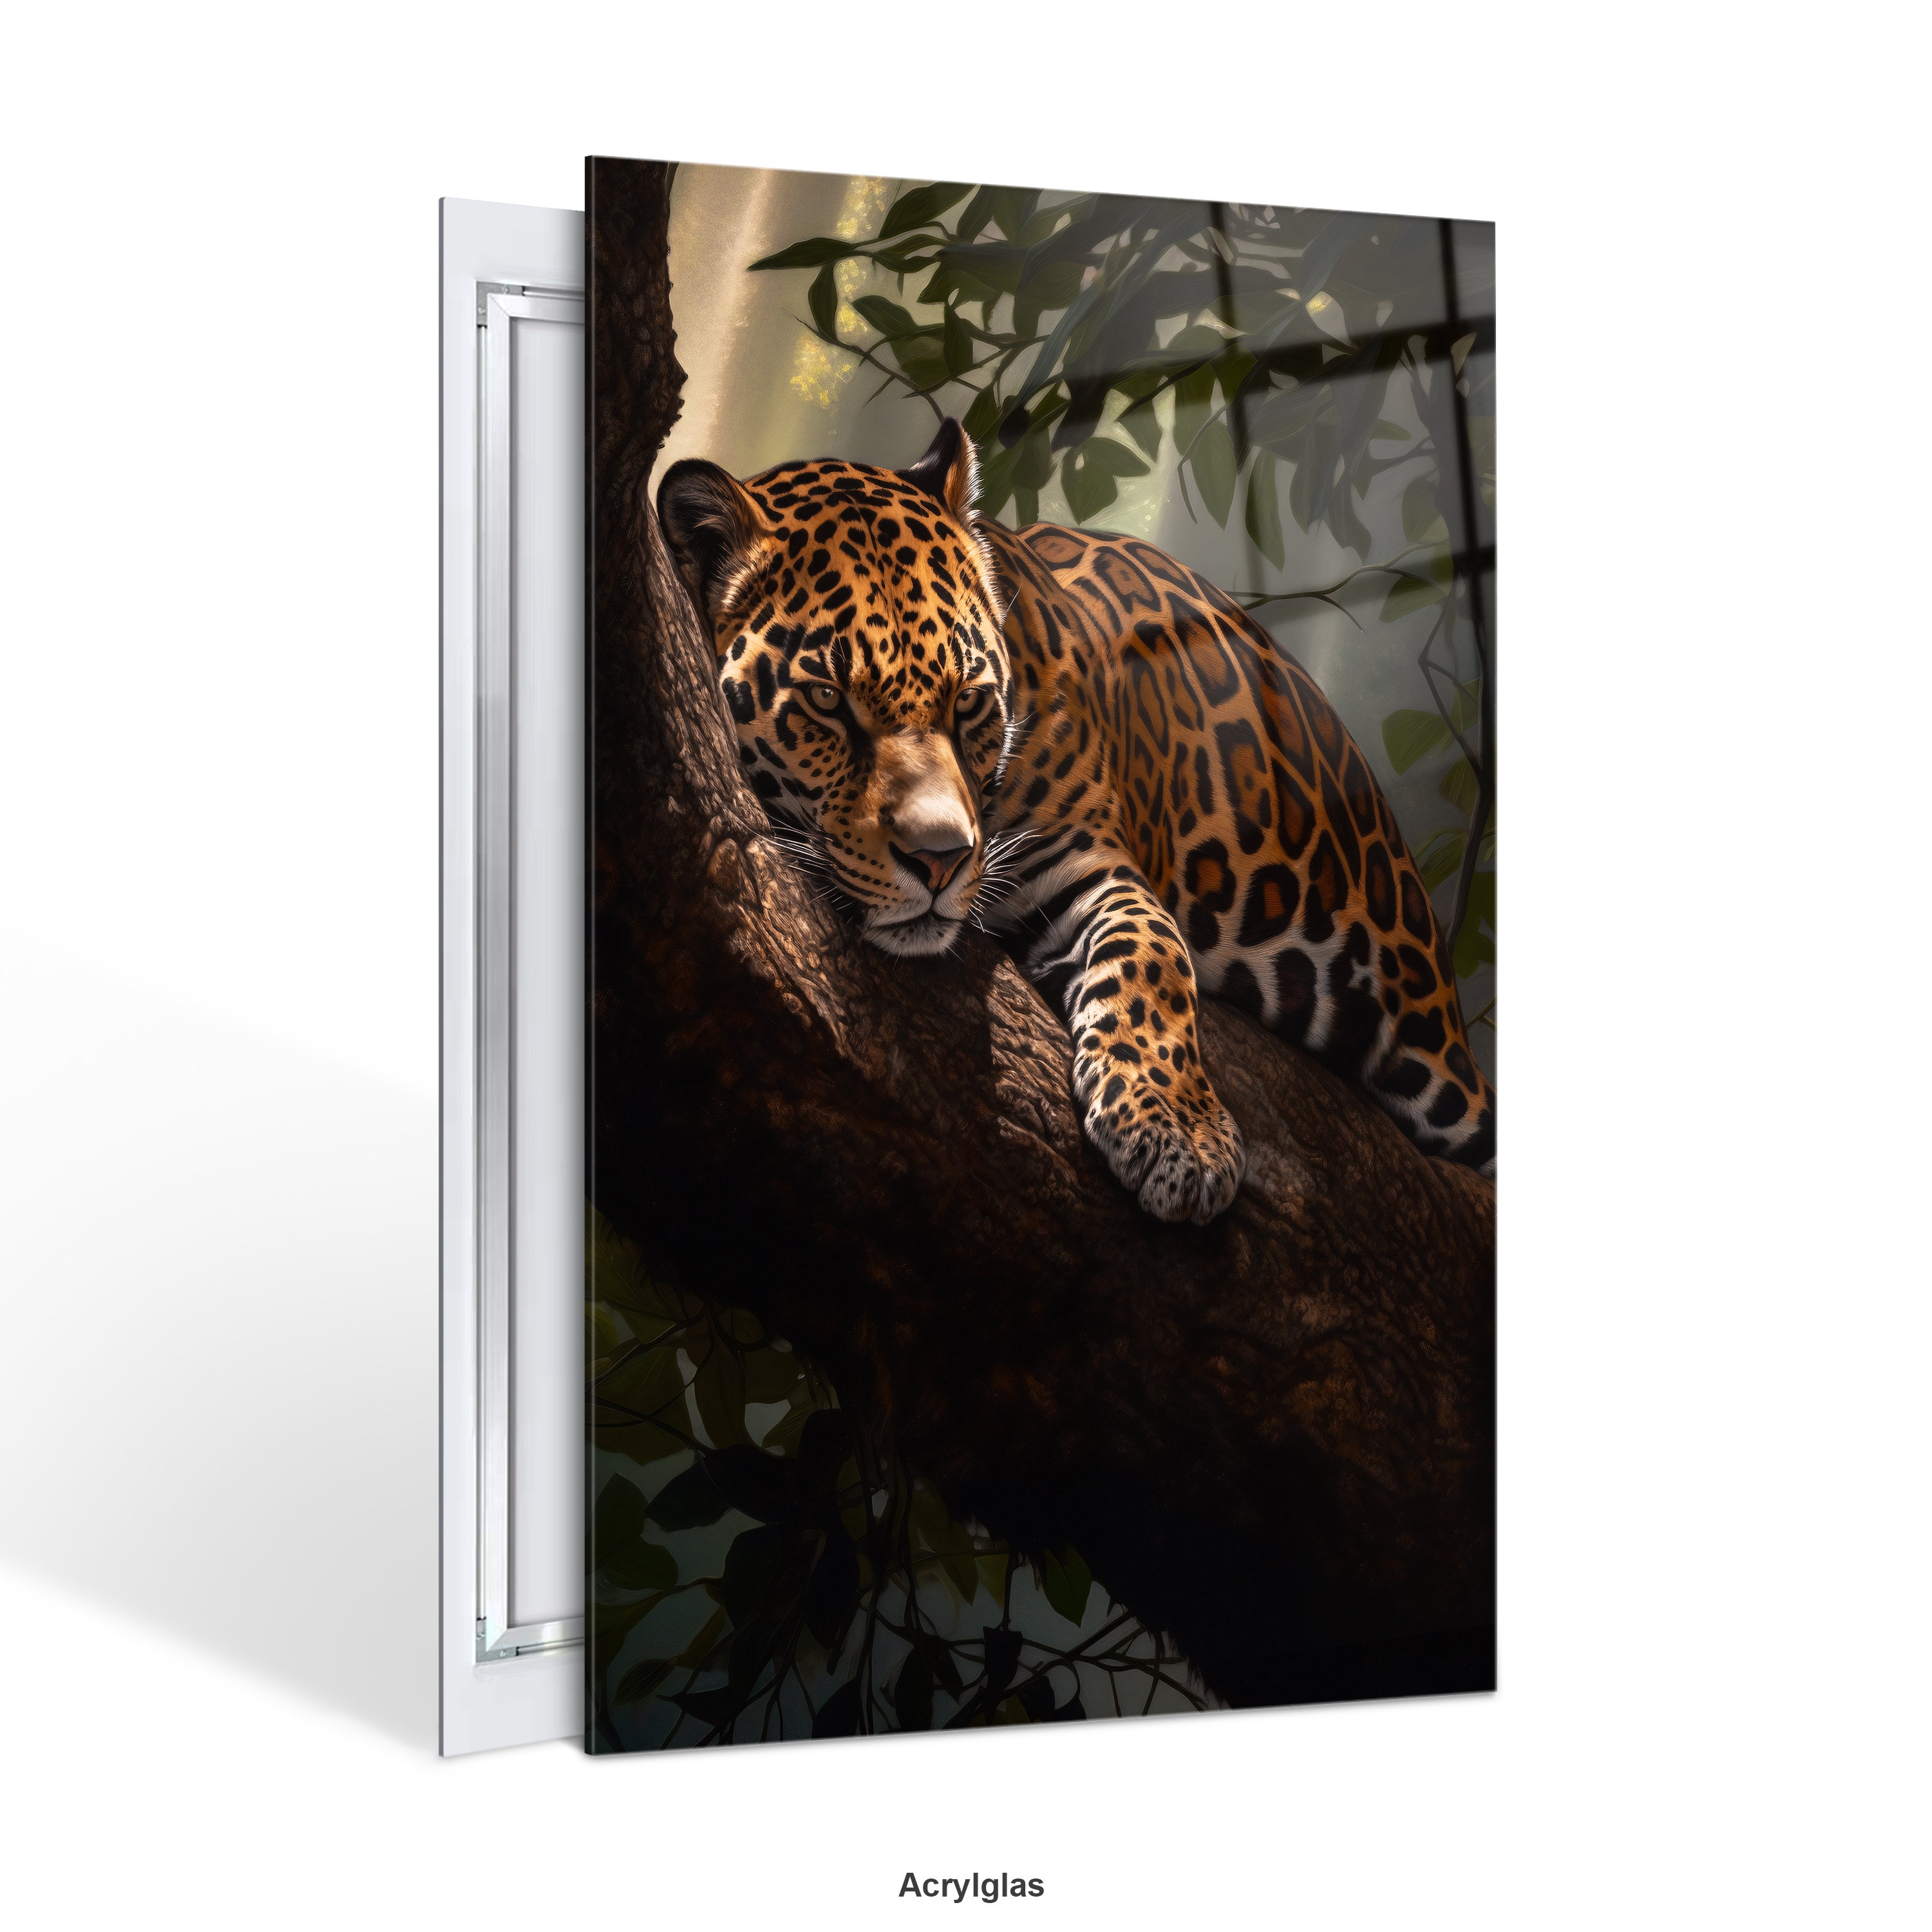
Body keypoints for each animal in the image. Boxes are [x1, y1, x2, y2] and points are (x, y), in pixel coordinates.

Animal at [657, 418, 1495, 1224]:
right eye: (828, 701)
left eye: (969, 702)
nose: (939, 860)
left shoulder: (1079, 862)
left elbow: (1153, 956)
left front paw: (1179, 1134)